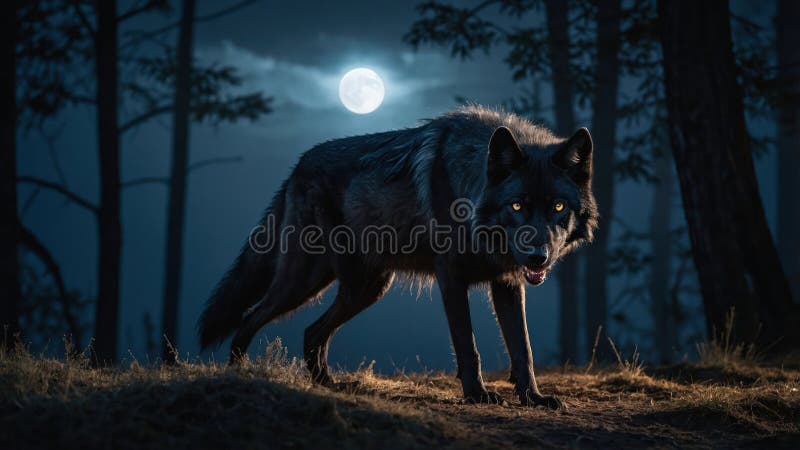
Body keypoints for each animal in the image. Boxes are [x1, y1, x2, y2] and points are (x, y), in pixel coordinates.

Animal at [198, 105, 597, 408]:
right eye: (517, 206)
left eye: (558, 207)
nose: (538, 257)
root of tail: (297, 165)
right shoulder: (451, 278)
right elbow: (467, 345)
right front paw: (477, 395)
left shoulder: (507, 282)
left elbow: (522, 348)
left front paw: (534, 397)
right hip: (306, 282)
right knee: (251, 317)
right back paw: (241, 374)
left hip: (365, 288)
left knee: (312, 332)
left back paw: (329, 385)